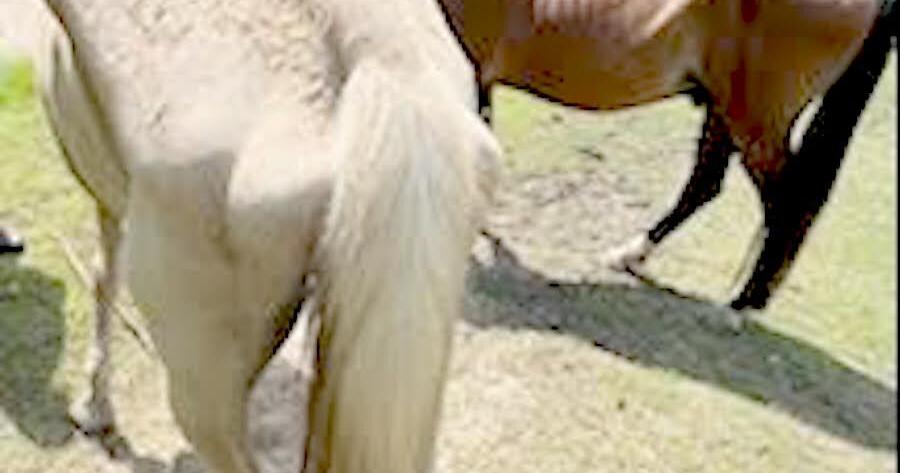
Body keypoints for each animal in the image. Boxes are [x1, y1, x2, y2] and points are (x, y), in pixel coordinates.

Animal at [438, 0, 896, 309]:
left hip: (756, 120)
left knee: (788, 203)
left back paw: (742, 305)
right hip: (726, 110)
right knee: (707, 185)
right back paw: (631, 255)